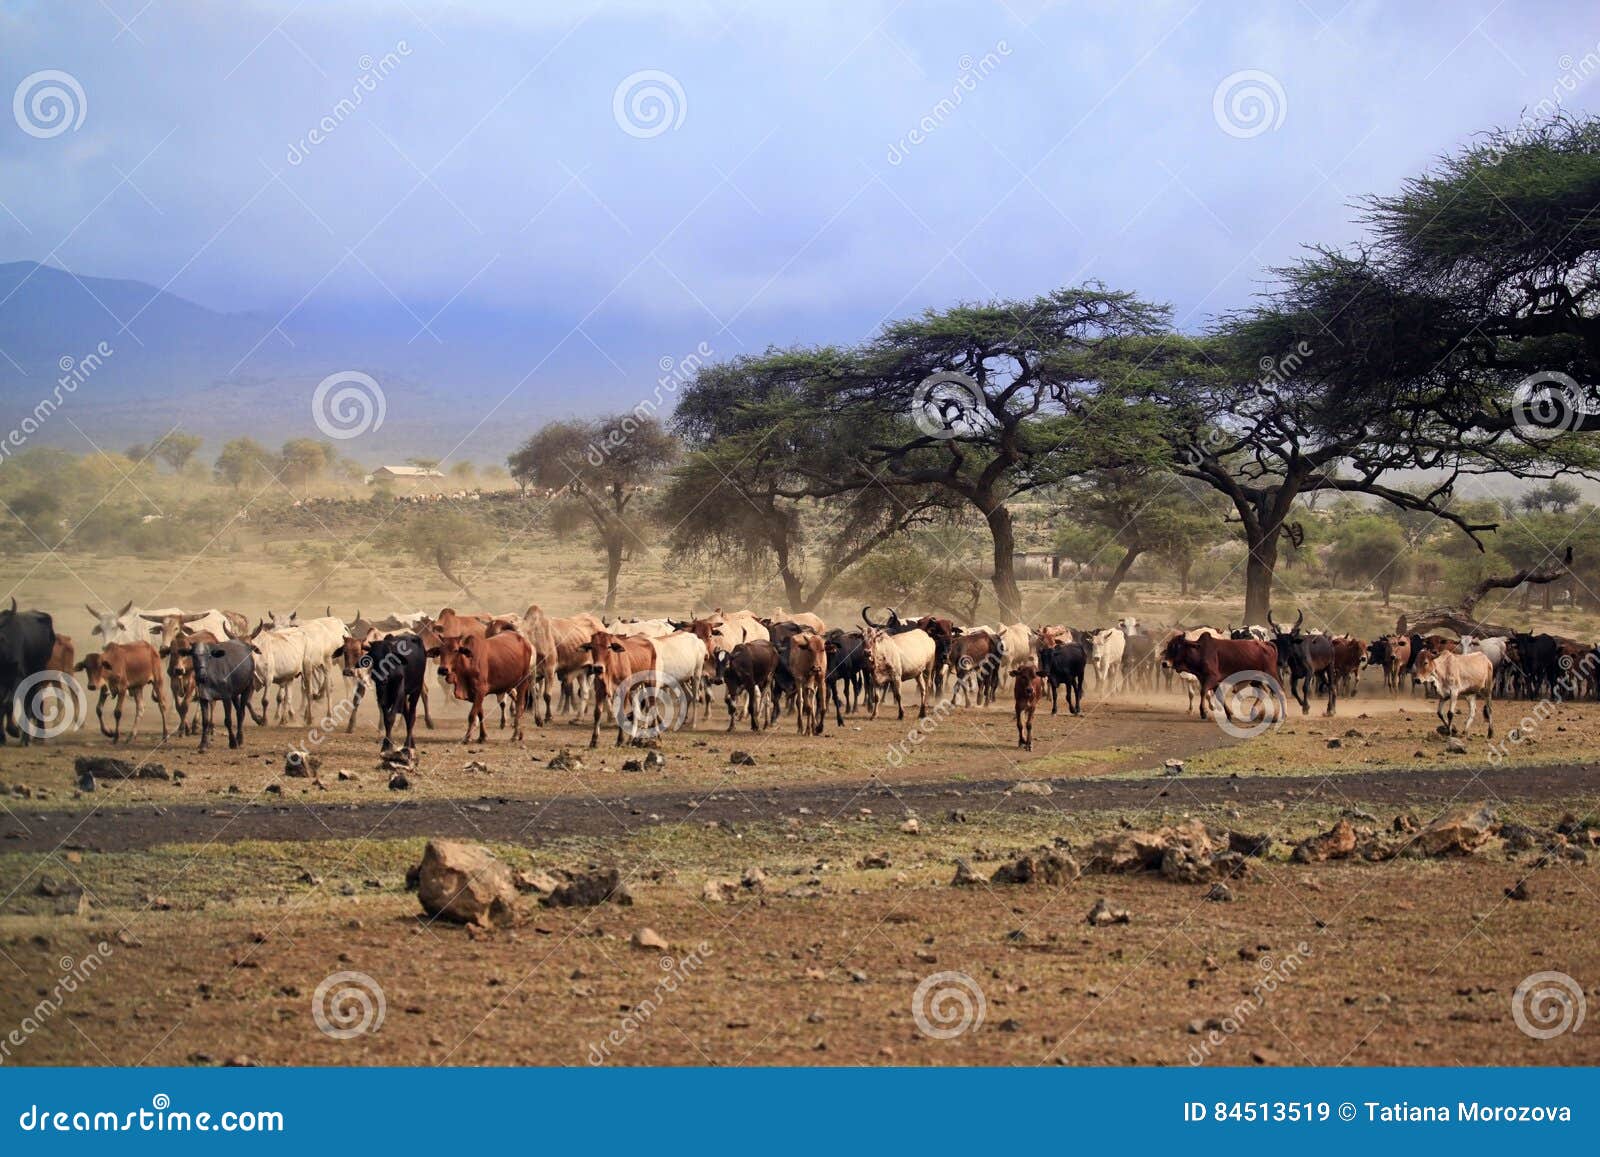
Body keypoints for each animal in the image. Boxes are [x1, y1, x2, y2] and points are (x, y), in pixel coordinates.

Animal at [1, 598, 57, 745]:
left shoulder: (19, 677)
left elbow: (9, 703)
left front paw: (13, 730)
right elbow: (2, 704)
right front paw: (2, 737)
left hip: (36, 675)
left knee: (32, 700)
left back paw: (31, 738)